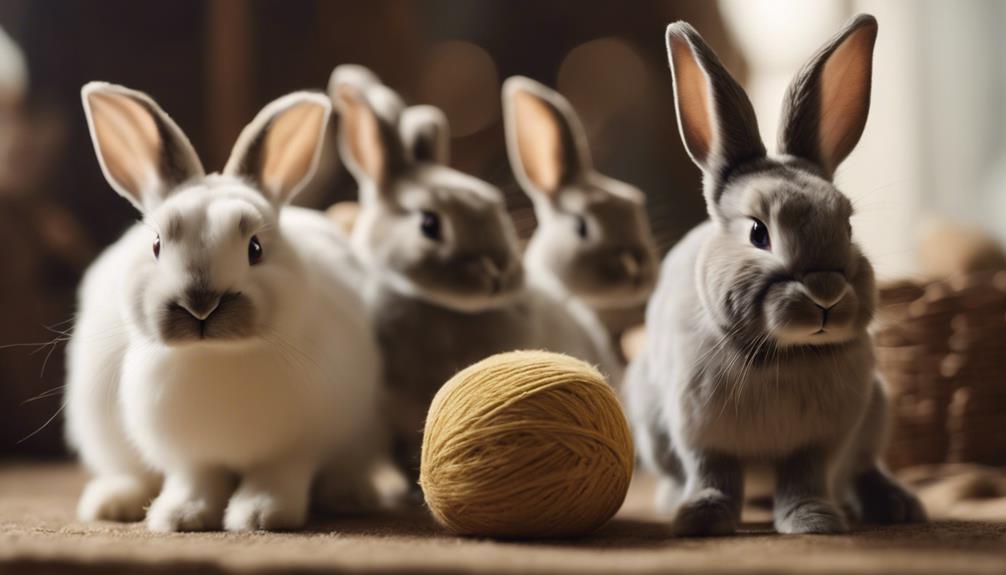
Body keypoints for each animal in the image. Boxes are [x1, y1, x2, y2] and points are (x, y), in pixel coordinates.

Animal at [64, 82, 383, 532]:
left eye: (256, 248)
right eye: (156, 245)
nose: (201, 306)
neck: (215, 357)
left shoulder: (293, 451)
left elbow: (275, 478)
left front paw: (260, 515)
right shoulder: (191, 457)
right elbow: (196, 481)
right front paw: (179, 516)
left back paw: (352, 496)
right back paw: (112, 503)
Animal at [624, 14, 926, 536]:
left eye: (847, 227)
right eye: (758, 233)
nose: (825, 294)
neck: (783, 354)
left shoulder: (818, 444)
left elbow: (804, 478)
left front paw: (813, 521)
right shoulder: (701, 434)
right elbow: (715, 474)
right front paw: (702, 519)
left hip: (876, 409)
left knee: (864, 468)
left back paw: (896, 506)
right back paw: (672, 504)